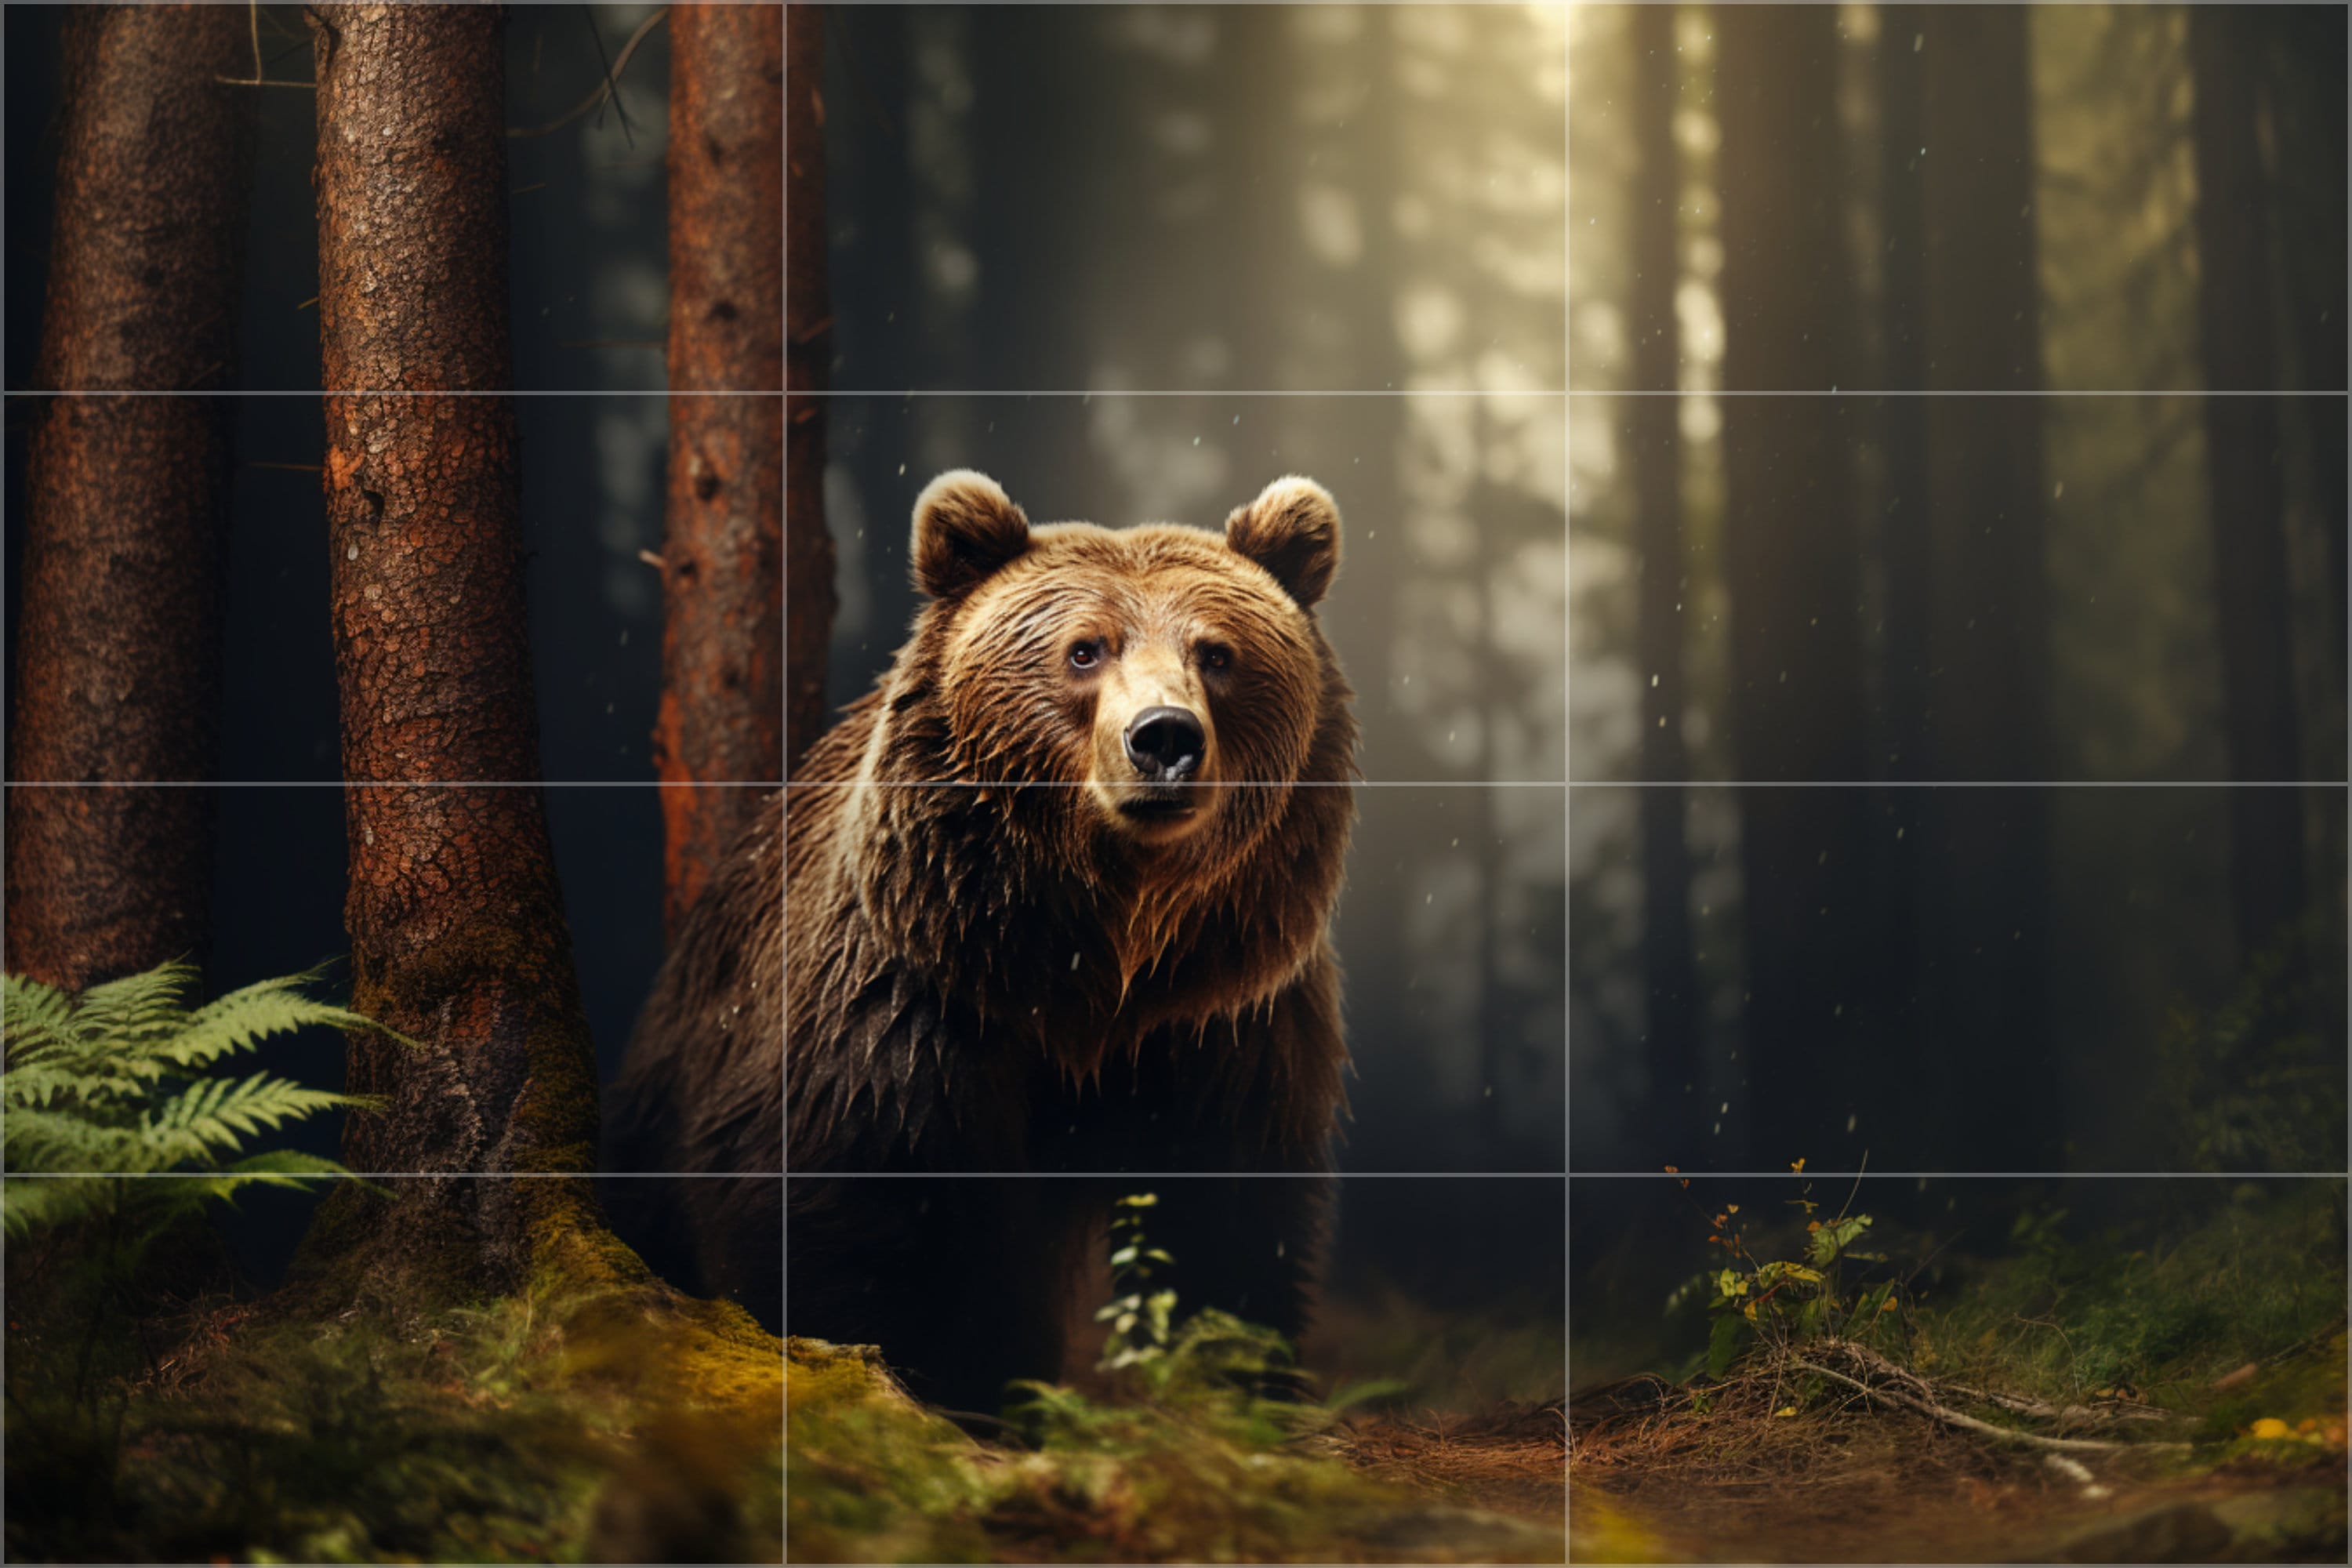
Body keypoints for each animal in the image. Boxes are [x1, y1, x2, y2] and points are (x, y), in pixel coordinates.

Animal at [607, 470, 1356, 1413]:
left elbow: (1231, 1222)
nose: (1164, 737)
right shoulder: (905, 1007)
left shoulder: (1222, 1017)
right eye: (1085, 649)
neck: (1093, 963)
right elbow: (839, 1215)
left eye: (1217, 652)